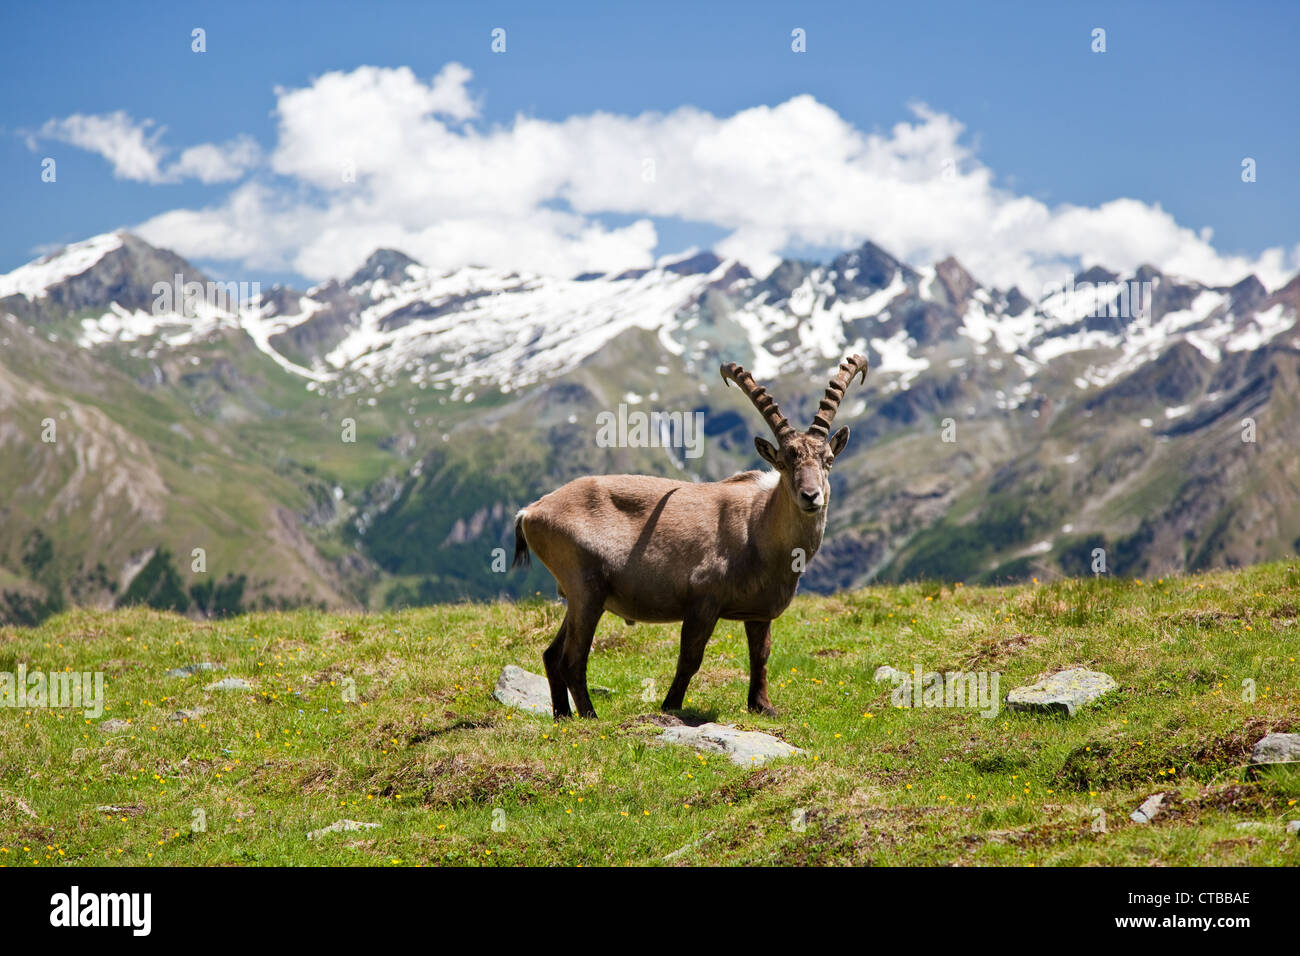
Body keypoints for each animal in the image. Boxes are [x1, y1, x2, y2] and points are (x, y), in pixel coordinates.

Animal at [512, 354, 869, 719]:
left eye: (828, 460)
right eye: (783, 462)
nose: (811, 496)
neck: (758, 526)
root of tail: (532, 512)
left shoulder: (758, 612)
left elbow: (761, 655)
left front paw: (763, 706)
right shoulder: (703, 601)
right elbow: (690, 658)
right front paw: (671, 705)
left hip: (577, 597)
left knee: (552, 655)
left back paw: (562, 716)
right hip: (586, 591)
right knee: (572, 659)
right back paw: (590, 717)